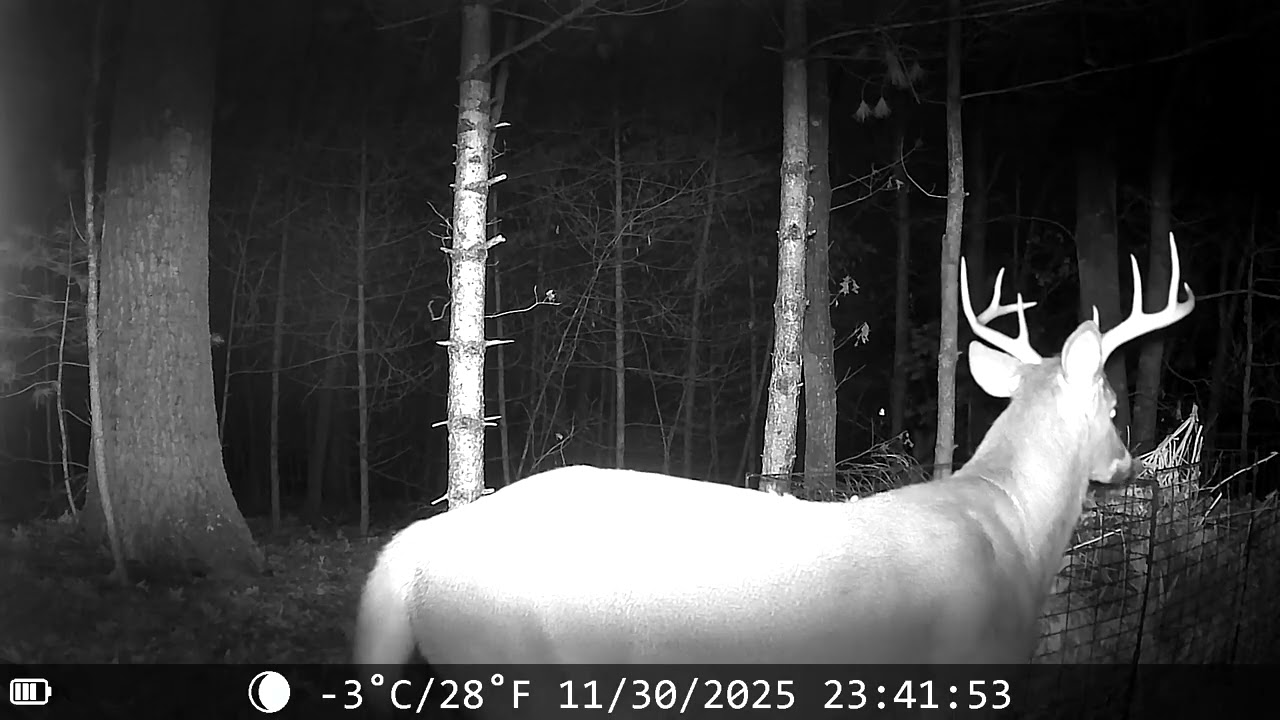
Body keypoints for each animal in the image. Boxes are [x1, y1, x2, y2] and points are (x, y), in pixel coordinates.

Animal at [354, 233, 1194, 666]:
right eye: (1111, 408)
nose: (1126, 461)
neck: (1015, 534)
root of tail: (411, 551)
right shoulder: (966, 664)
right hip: (516, 657)